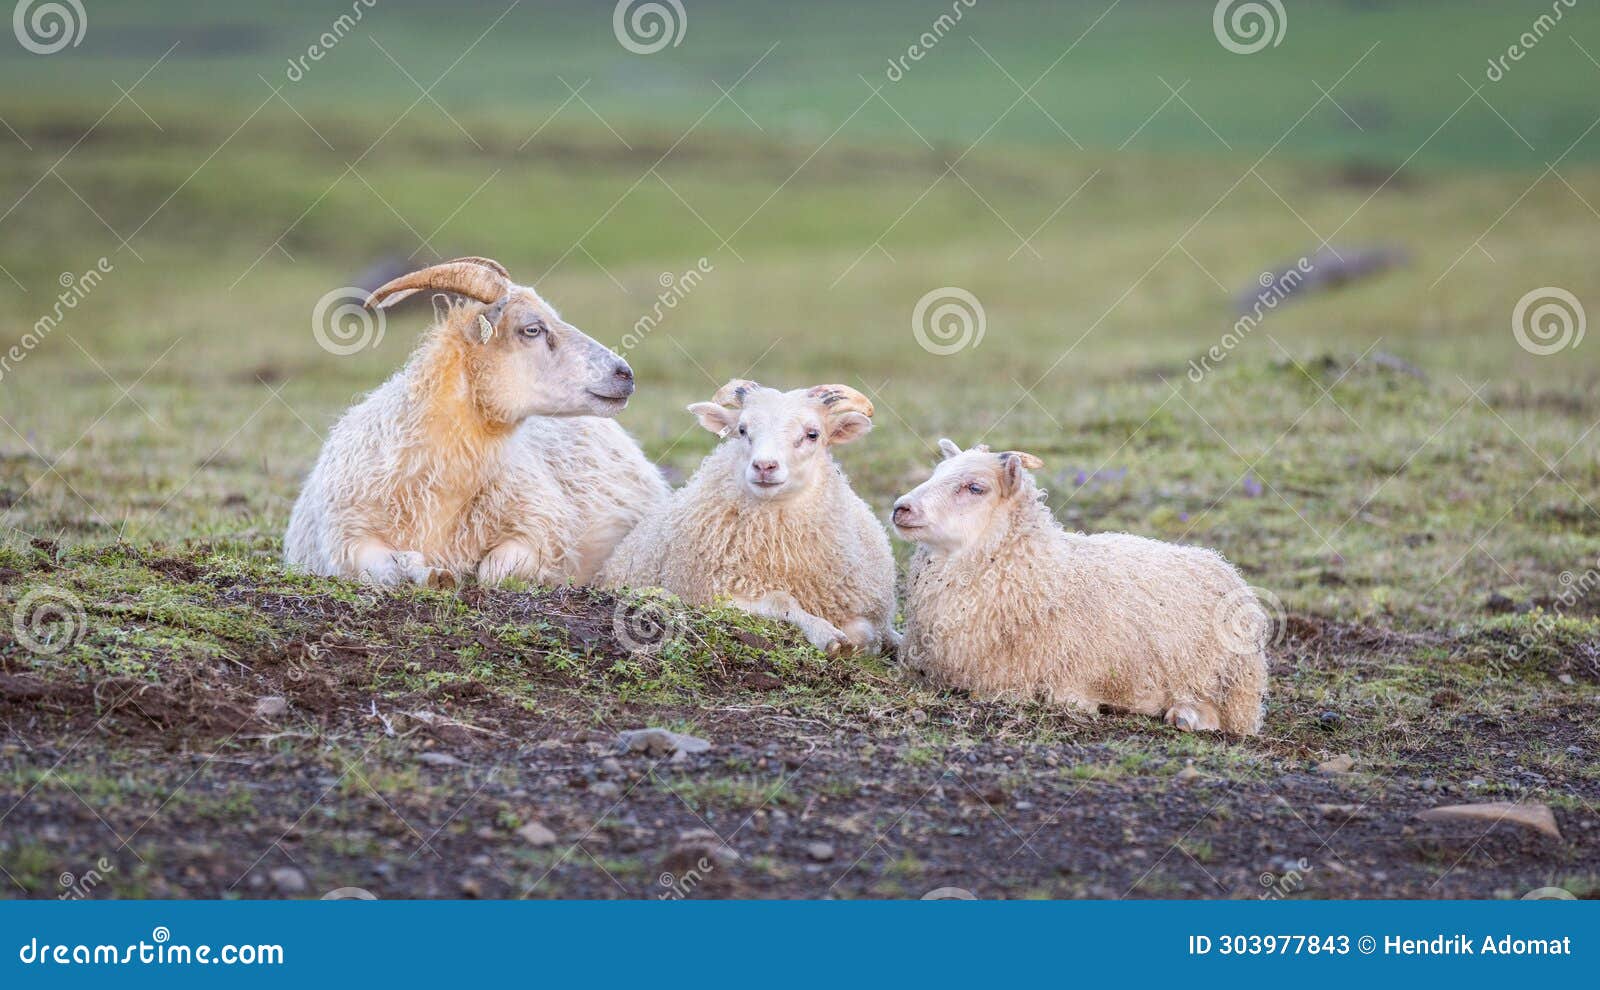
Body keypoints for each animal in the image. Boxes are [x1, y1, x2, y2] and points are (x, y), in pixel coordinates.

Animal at [284, 257, 668, 586]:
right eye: (532, 329)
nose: (625, 374)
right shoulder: (347, 537)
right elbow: (387, 570)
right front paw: (429, 573)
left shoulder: (539, 526)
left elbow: (491, 572)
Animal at [599, 379, 899, 656]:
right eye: (742, 430)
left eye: (813, 434)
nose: (764, 466)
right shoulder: (719, 591)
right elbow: (783, 602)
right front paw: (827, 634)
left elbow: (869, 629)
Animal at [891, 438, 1268, 734]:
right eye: (935, 473)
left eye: (975, 487)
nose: (901, 508)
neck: (1043, 575)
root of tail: (1221, 563)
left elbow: (1064, 699)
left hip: (1228, 684)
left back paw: (1186, 715)